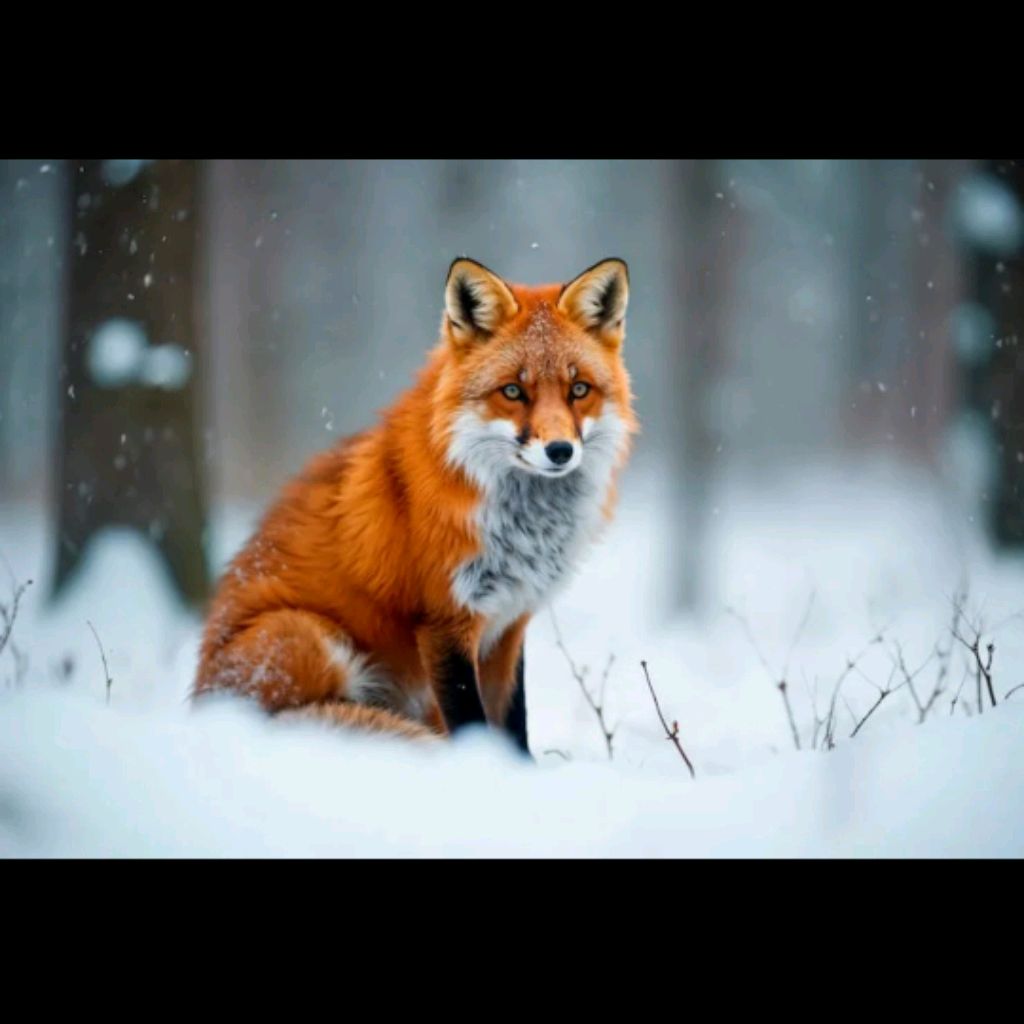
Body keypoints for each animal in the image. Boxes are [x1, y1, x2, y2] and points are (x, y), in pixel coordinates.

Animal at [193, 257, 637, 752]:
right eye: (512, 392)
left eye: (579, 390)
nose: (560, 451)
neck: (523, 528)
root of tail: (198, 709)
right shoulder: (445, 621)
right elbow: (472, 723)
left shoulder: (507, 625)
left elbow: (513, 725)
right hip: (309, 634)